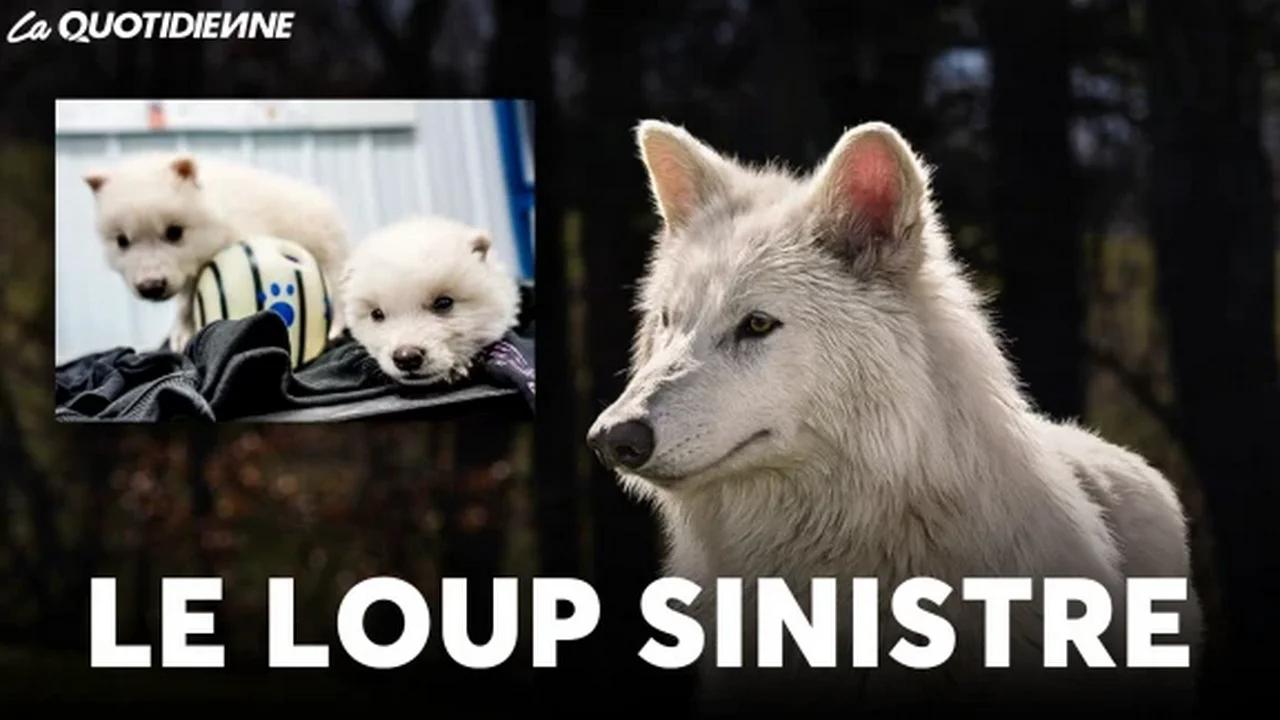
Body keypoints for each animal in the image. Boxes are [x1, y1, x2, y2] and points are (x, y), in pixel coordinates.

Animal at [85, 153, 348, 351]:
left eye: (174, 232)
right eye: (122, 241)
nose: (151, 287)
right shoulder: (187, 274)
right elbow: (184, 302)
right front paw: (181, 333)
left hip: (329, 251)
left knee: (337, 291)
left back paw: (335, 328)